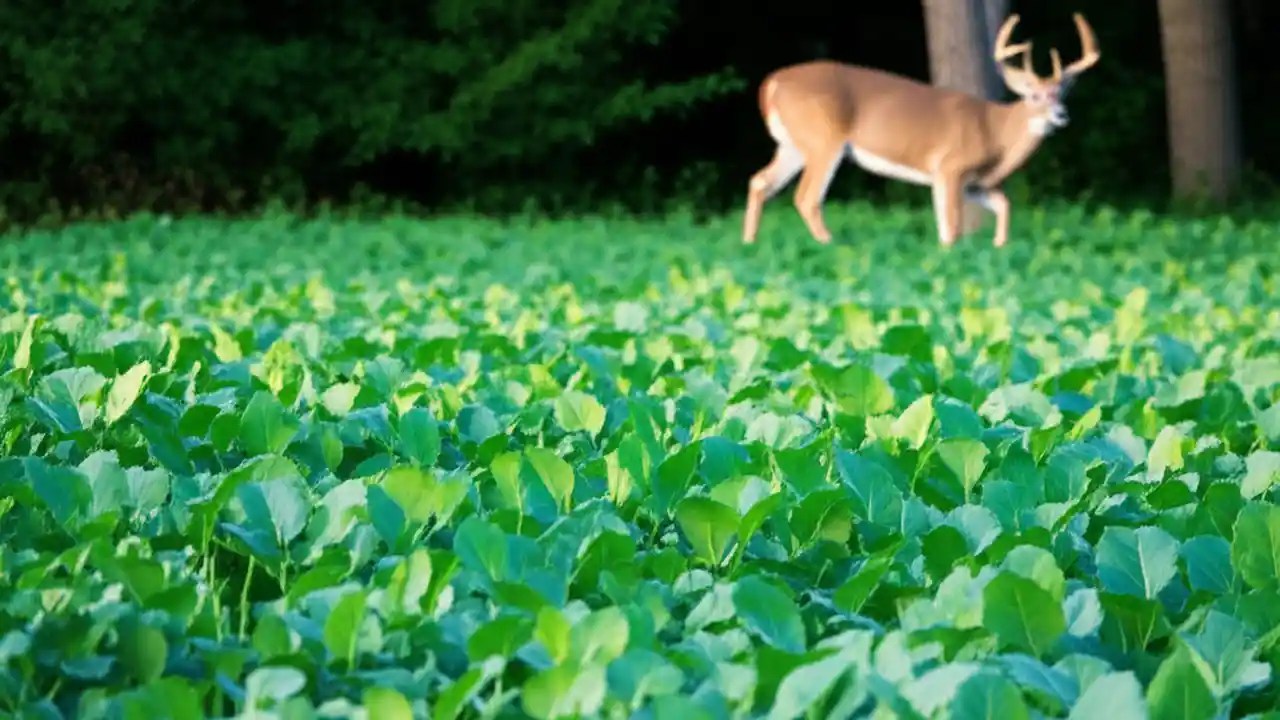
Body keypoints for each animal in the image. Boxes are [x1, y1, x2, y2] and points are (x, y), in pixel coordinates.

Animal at [741, 13, 1100, 249]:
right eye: (1034, 96)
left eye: (1062, 93)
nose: (1061, 114)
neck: (996, 133)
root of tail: (771, 84)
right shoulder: (951, 166)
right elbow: (953, 227)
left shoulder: (970, 182)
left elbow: (1000, 206)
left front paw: (997, 247)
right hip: (823, 138)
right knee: (807, 197)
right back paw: (830, 245)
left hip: (793, 144)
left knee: (760, 181)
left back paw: (750, 244)